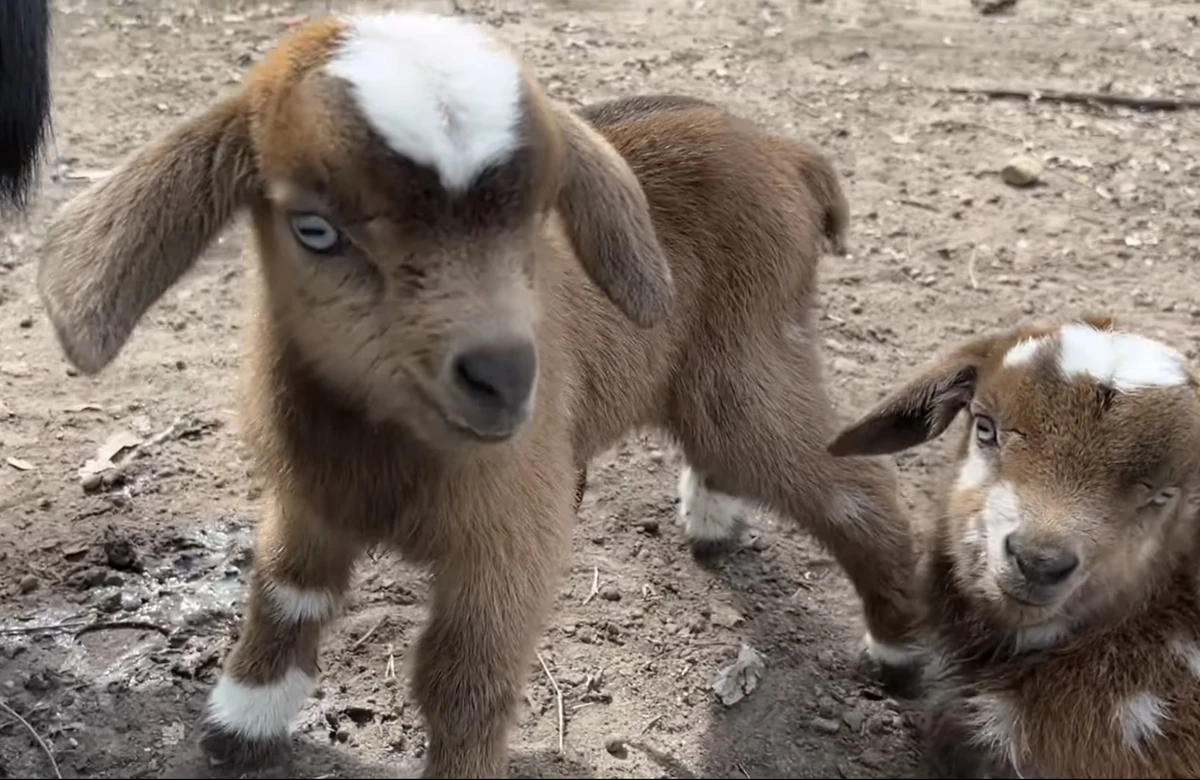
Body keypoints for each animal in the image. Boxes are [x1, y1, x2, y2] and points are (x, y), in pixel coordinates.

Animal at [36, 12, 925, 777]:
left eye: (536, 216)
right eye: (314, 228)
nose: (505, 378)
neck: (380, 450)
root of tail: (785, 152)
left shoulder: (510, 528)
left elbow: (462, 677)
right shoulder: (306, 500)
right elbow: (284, 594)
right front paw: (240, 726)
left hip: (750, 359)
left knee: (850, 483)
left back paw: (904, 653)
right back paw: (714, 523)